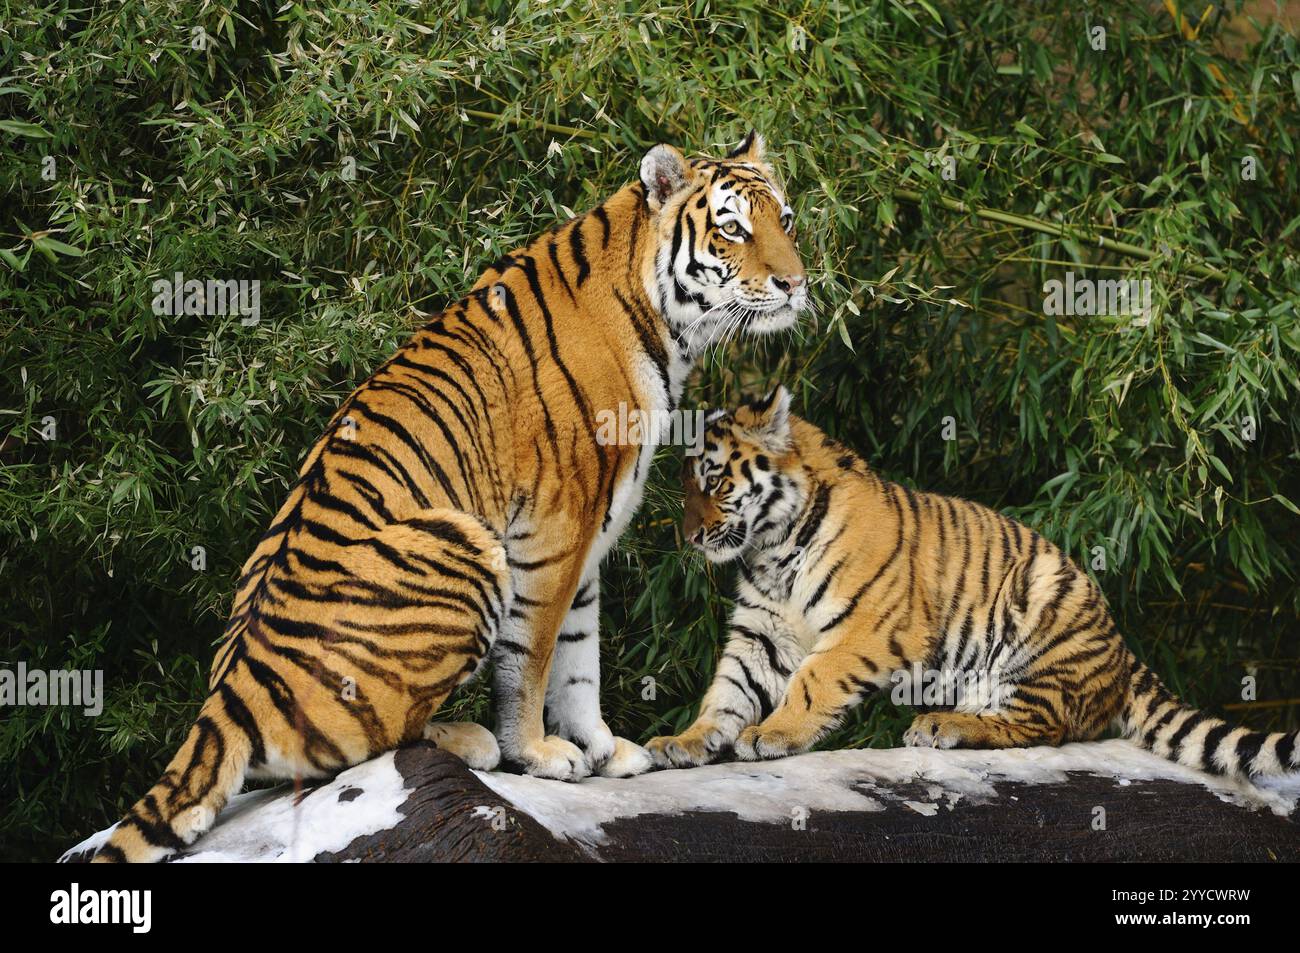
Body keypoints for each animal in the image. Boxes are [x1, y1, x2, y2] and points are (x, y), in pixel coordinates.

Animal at [94, 132, 809, 862]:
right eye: (732, 228)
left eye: (784, 220)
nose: (796, 283)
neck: (667, 326)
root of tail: (227, 696)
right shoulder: (552, 531)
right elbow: (534, 657)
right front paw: (539, 753)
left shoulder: (590, 536)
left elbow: (580, 657)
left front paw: (604, 751)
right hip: (463, 542)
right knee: (367, 741)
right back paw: (470, 739)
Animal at [646, 386, 1300, 784]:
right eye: (684, 486)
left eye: (714, 481)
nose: (689, 537)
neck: (771, 549)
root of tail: (1124, 650)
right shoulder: (762, 634)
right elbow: (726, 691)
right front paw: (687, 741)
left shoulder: (867, 629)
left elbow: (813, 682)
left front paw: (774, 734)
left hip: (1040, 619)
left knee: (1042, 726)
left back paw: (944, 726)